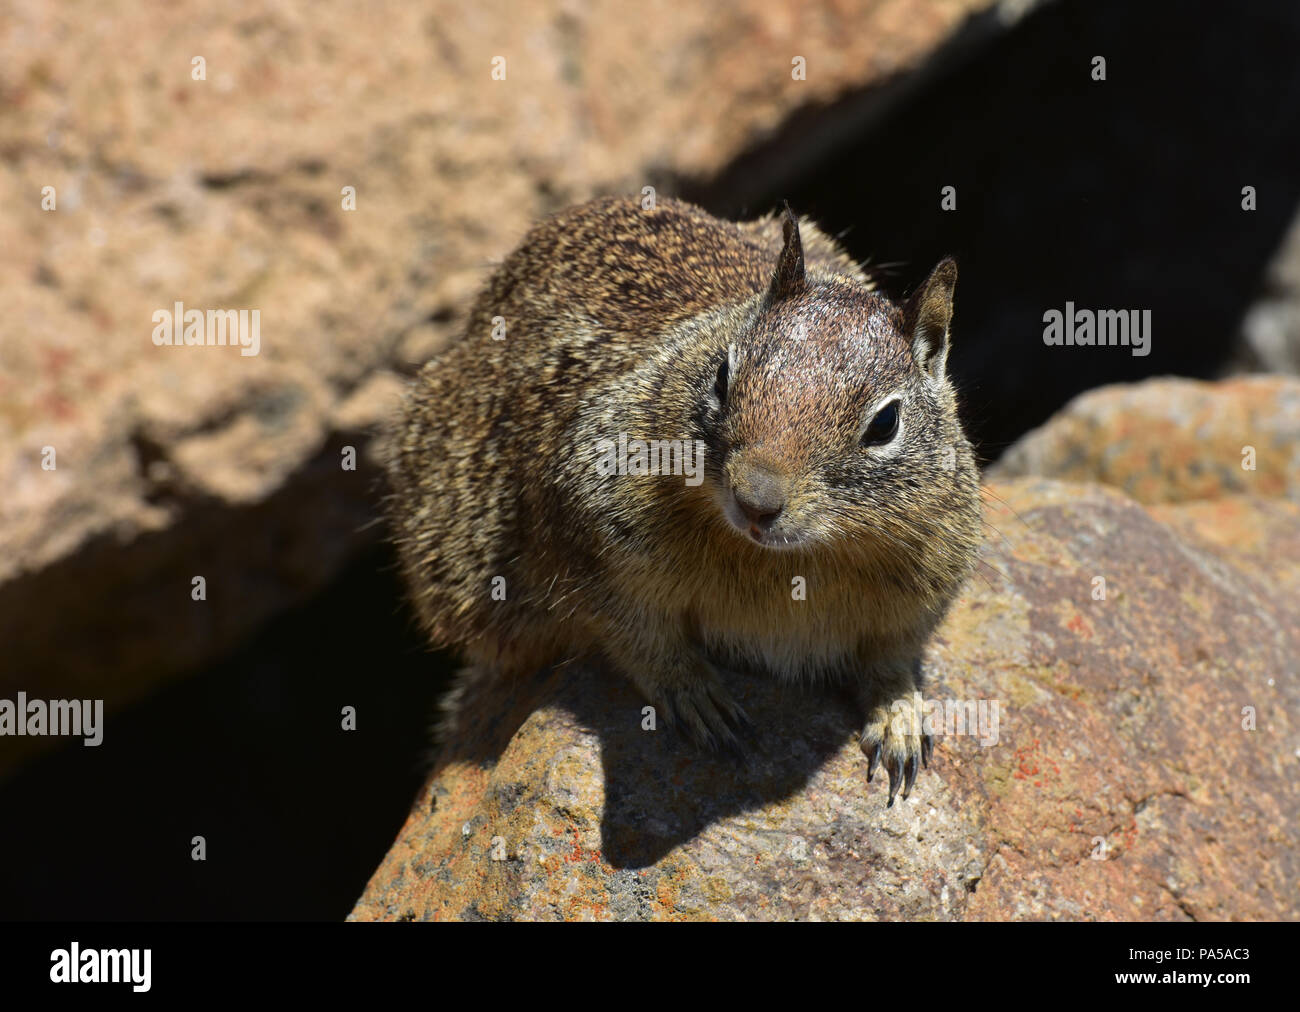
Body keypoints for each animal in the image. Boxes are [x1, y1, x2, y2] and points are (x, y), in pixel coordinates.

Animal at [388, 195, 982, 805]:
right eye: (722, 374)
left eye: (885, 424)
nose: (756, 501)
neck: (786, 563)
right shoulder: (590, 537)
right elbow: (639, 638)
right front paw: (697, 698)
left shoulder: (925, 582)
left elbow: (892, 659)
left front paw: (899, 718)